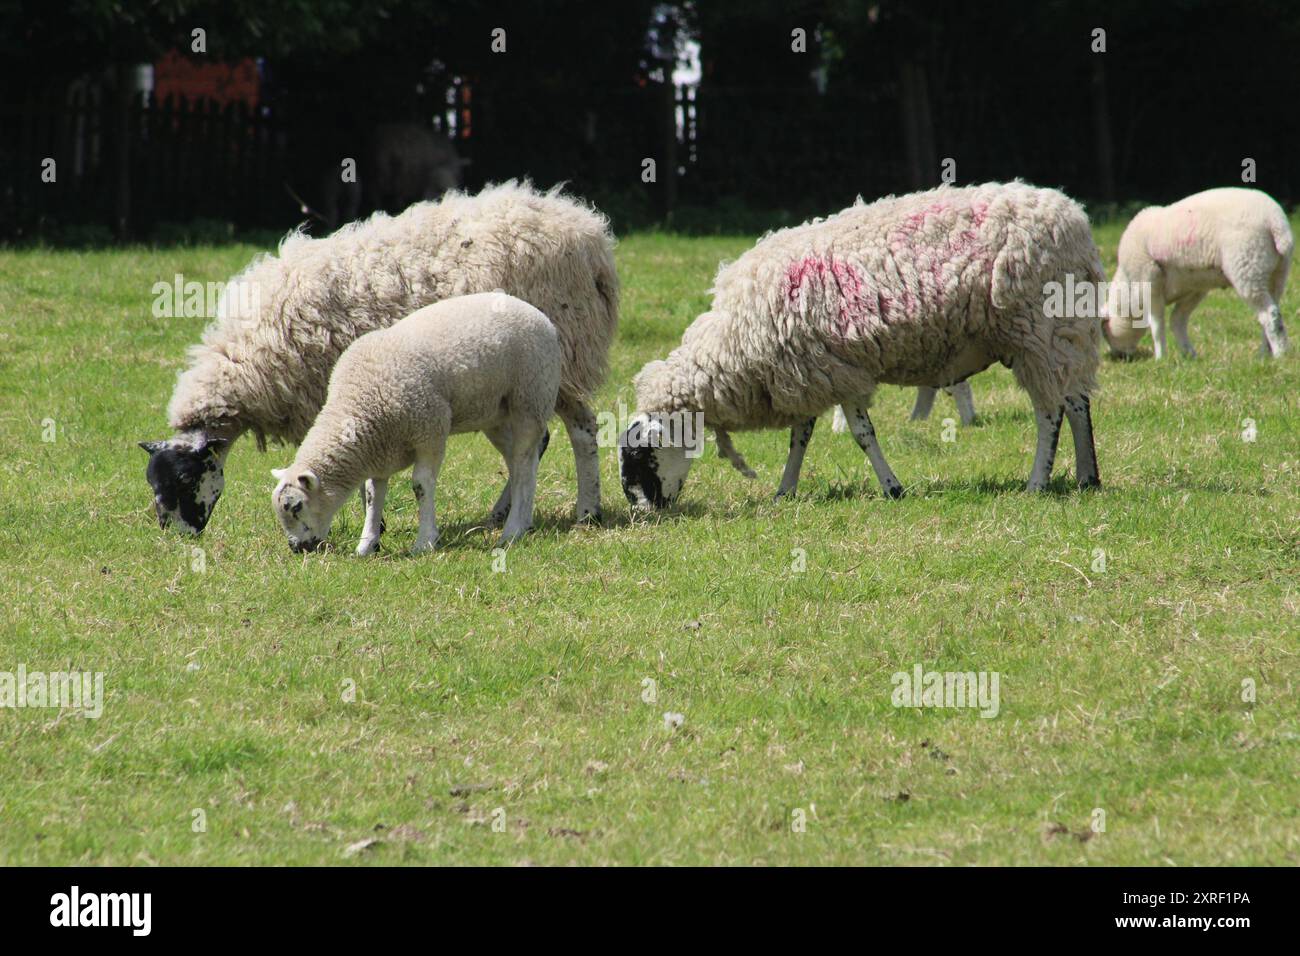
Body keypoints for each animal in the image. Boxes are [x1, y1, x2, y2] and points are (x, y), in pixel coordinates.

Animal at [271, 293, 560, 554]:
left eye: (296, 507)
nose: (297, 548)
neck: (358, 404)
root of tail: (535, 311)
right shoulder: (380, 451)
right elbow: (373, 494)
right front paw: (367, 544)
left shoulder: (430, 431)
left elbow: (421, 485)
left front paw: (426, 542)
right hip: (495, 414)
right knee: (522, 461)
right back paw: (524, 522)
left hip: (530, 399)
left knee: (522, 464)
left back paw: (512, 531)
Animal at [618, 182, 1103, 508]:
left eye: (641, 455)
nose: (643, 512)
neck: (735, 344)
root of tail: (1076, 221)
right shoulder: (809, 372)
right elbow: (800, 437)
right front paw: (784, 490)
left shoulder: (838, 371)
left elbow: (861, 435)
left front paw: (892, 488)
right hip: (1065, 333)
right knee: (1077, 402)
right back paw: (1087, 477)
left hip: (1037, 330)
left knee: (1050, 411)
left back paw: (1038, 482)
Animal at [1103, 187, 1293, 359]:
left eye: (1105, 332)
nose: (1119, 357)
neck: (1128, 287)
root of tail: (1275, 222)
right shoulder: (1194, 288)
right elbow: (1177, 321)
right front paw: (1189, 355)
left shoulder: (1149, 279)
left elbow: (1157, 325)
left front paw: (1161, 358)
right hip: (1277, 273)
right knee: (1271, 313)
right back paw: (1264, 355)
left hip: (1247, 266)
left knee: (1269, 315)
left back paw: (1280, 355)